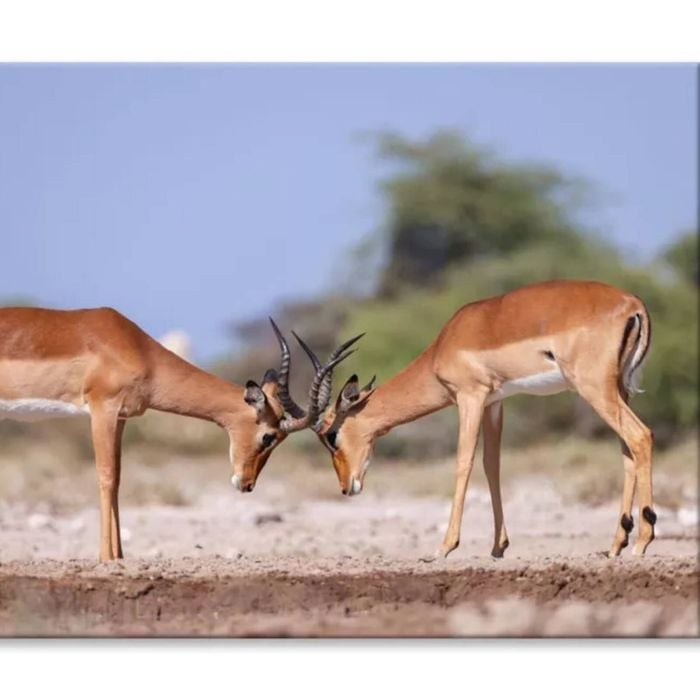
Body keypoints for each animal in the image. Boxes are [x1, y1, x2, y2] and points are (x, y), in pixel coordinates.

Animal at [0, 307, 357, 561]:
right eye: (269, 436)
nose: (246, 484)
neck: (134, 348)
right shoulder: (103, 410)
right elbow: (106, 477)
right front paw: (106, 558)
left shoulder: (121, 418)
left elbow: (119, 480)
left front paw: (120, 556)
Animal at [306, 280, 655, 559]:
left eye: (331, 435)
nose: (346, 487)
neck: (444, 344)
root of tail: (633, 303)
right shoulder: (494, 403)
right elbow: (492, 464)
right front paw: (498, 547)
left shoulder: (469, 397)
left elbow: (463, 462)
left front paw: (444, 548)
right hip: (620, 389)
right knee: (627, 449)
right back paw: (616, 545)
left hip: (594, 388)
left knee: (640, 435)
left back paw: (642, 541)